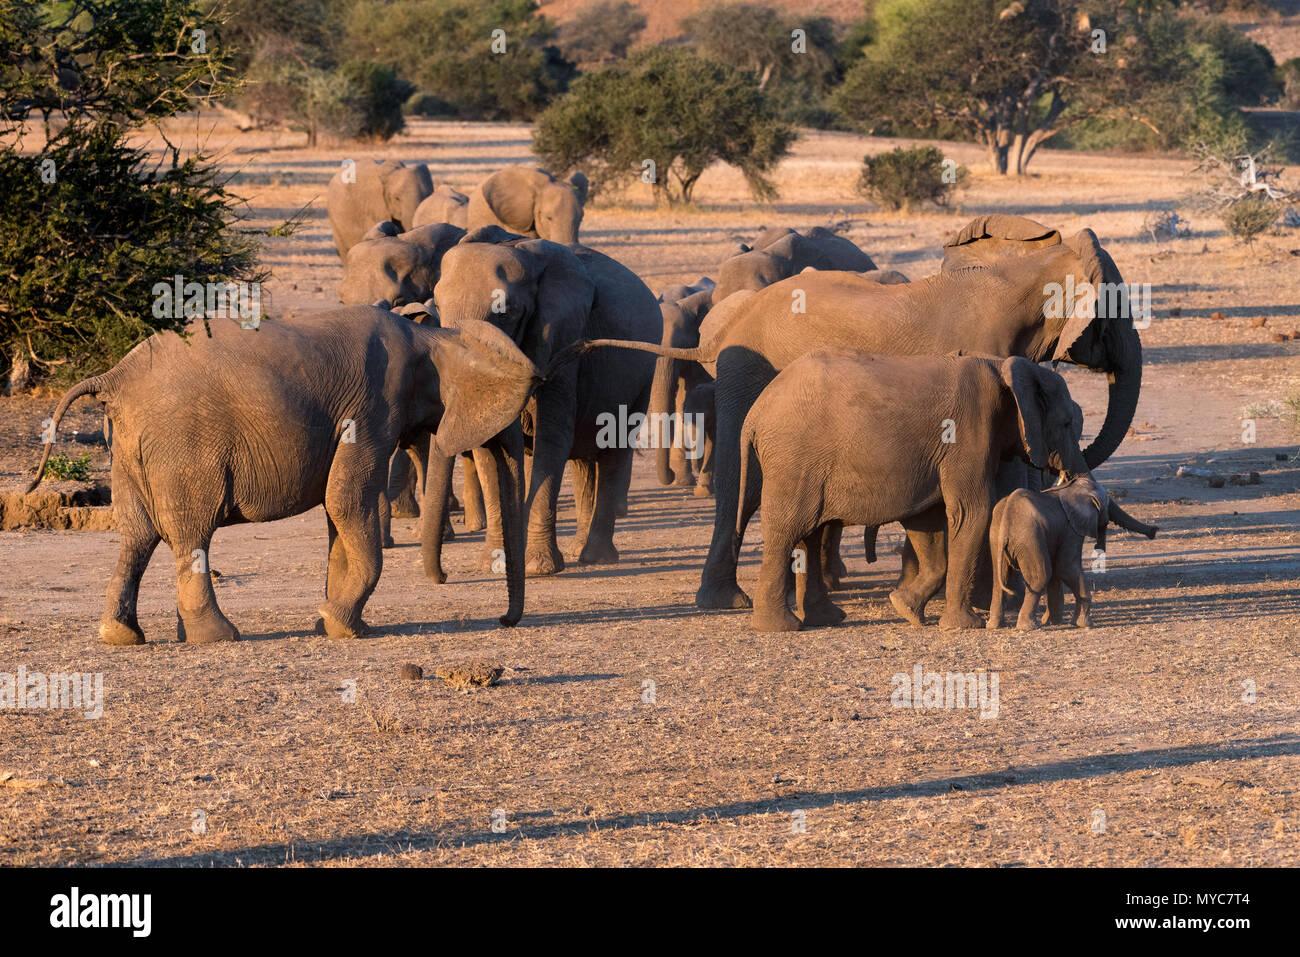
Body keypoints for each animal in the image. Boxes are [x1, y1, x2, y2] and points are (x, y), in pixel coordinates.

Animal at [25, 310, 552, 645]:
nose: (504, 621)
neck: (434, 336)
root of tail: (115, 377)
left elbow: (338, 517)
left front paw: (336, 626)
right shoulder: (371, 411)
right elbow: (347, 502)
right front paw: (342, 627)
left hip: (129, 449)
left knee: (137, 536)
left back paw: (123, 636)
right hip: (182, 444)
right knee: (190, 532)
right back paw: (218, 637)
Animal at [426, 229, 660, 581]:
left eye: (505, 313)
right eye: (437, 305)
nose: (442, 577)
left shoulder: (561, 339)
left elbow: (552, 438)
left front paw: (537, 568)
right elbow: (488, 442)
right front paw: (495, 564)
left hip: (643, 373)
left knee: (613, 448)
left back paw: (596, 558)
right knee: (582, 459)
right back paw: (578, 550)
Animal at [735, 351, 1090, 632]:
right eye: (1067, 423)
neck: (1003, 365)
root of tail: (754, 414)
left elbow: (928, 521)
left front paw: (905, 609)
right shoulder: (967, 434)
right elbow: (971, 511)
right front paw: (963, 626)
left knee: (809, 534)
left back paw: (827, 619)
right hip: (794, 459)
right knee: (787, 531)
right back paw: (780, 628)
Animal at [988, 472, 1157, 631]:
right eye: (1107, 507)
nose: (1154, 531)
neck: (1071, 489)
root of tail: (1006, 519)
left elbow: (1057, 571)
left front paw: (1053, 622)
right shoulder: (1071, 529)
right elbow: (1066, 568)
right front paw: (1083, 624)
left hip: (997, 536)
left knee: (999, 579)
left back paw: (994, 625)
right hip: (1029, 537)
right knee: (1040, 576)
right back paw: (1028, 627)